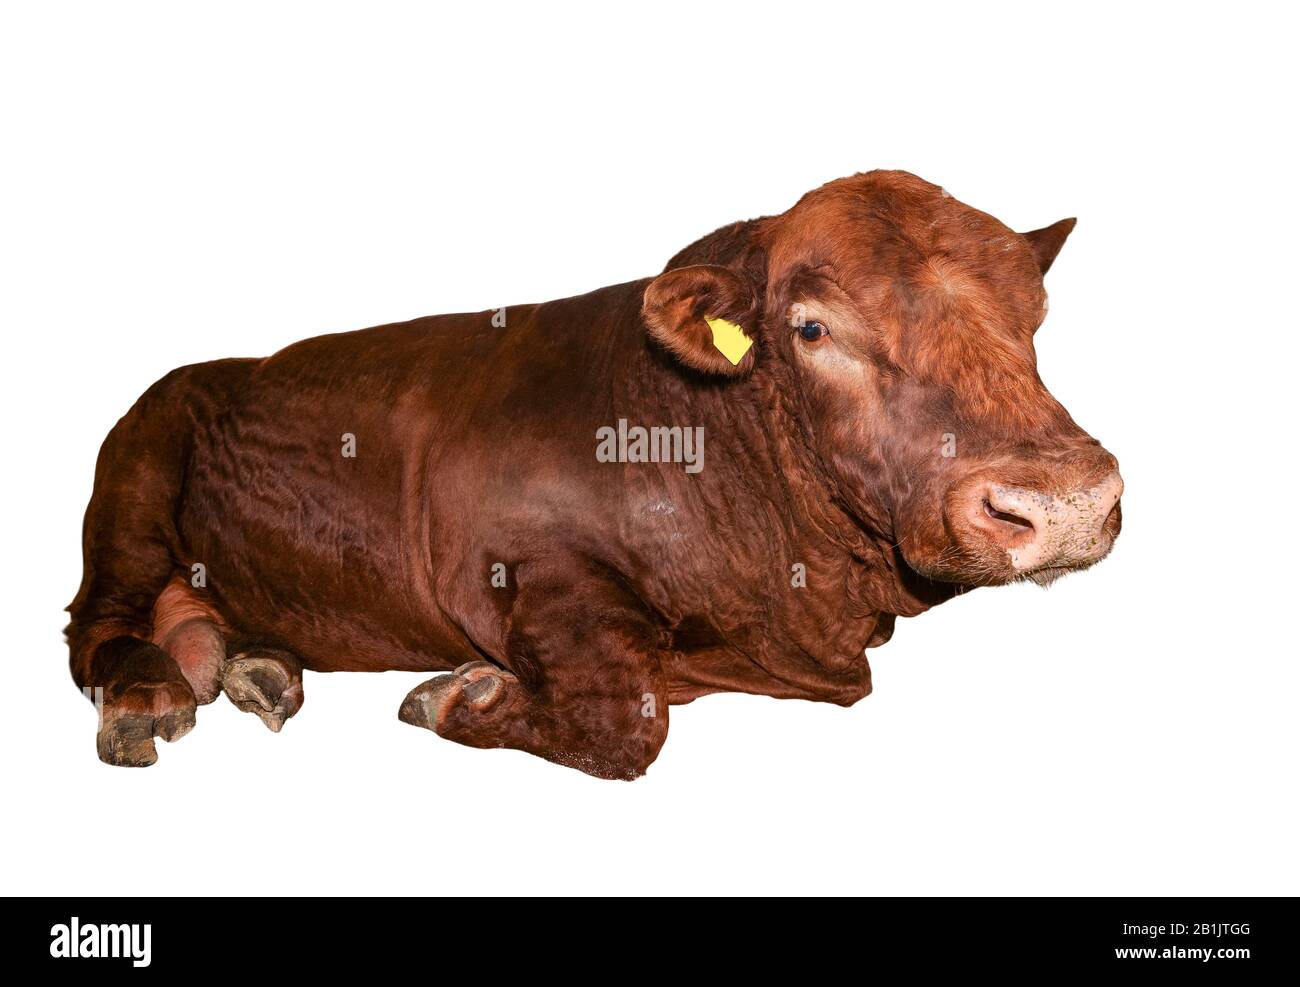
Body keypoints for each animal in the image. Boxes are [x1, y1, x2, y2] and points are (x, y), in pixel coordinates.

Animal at [66, 170, 1123, 779]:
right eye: (813, 326)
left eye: (1034, 314)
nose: (1065, 502)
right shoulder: (512, 565)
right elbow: (625, 718)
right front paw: (461, 693)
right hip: (133, 481)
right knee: (94, 625)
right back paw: (152, 694)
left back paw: (242, 662)